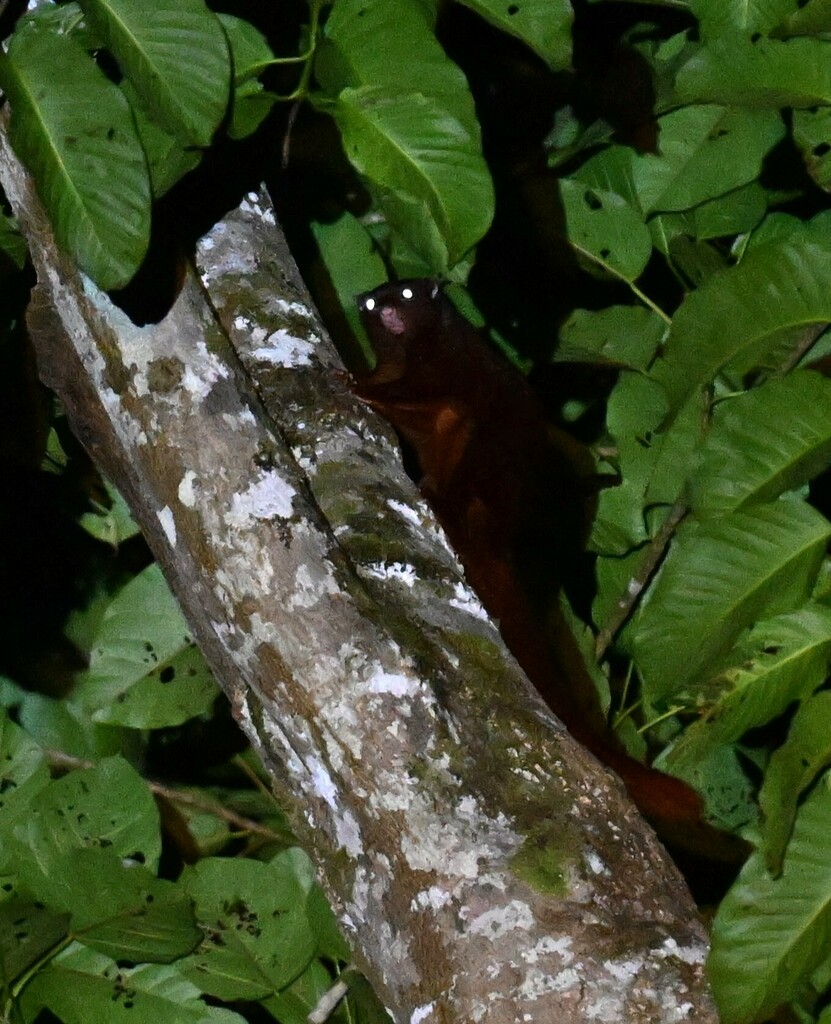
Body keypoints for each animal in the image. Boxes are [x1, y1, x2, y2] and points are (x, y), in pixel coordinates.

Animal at [350, 278, 746, 865]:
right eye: (377, 304)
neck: (410, 349)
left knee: (462, 426)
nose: (391, 310)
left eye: (408, 293)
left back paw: (438, 498)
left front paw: (357, 388)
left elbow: (433, 403)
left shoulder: (447, 365)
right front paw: (364, 380)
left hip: (482, 477)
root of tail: (496, 533)